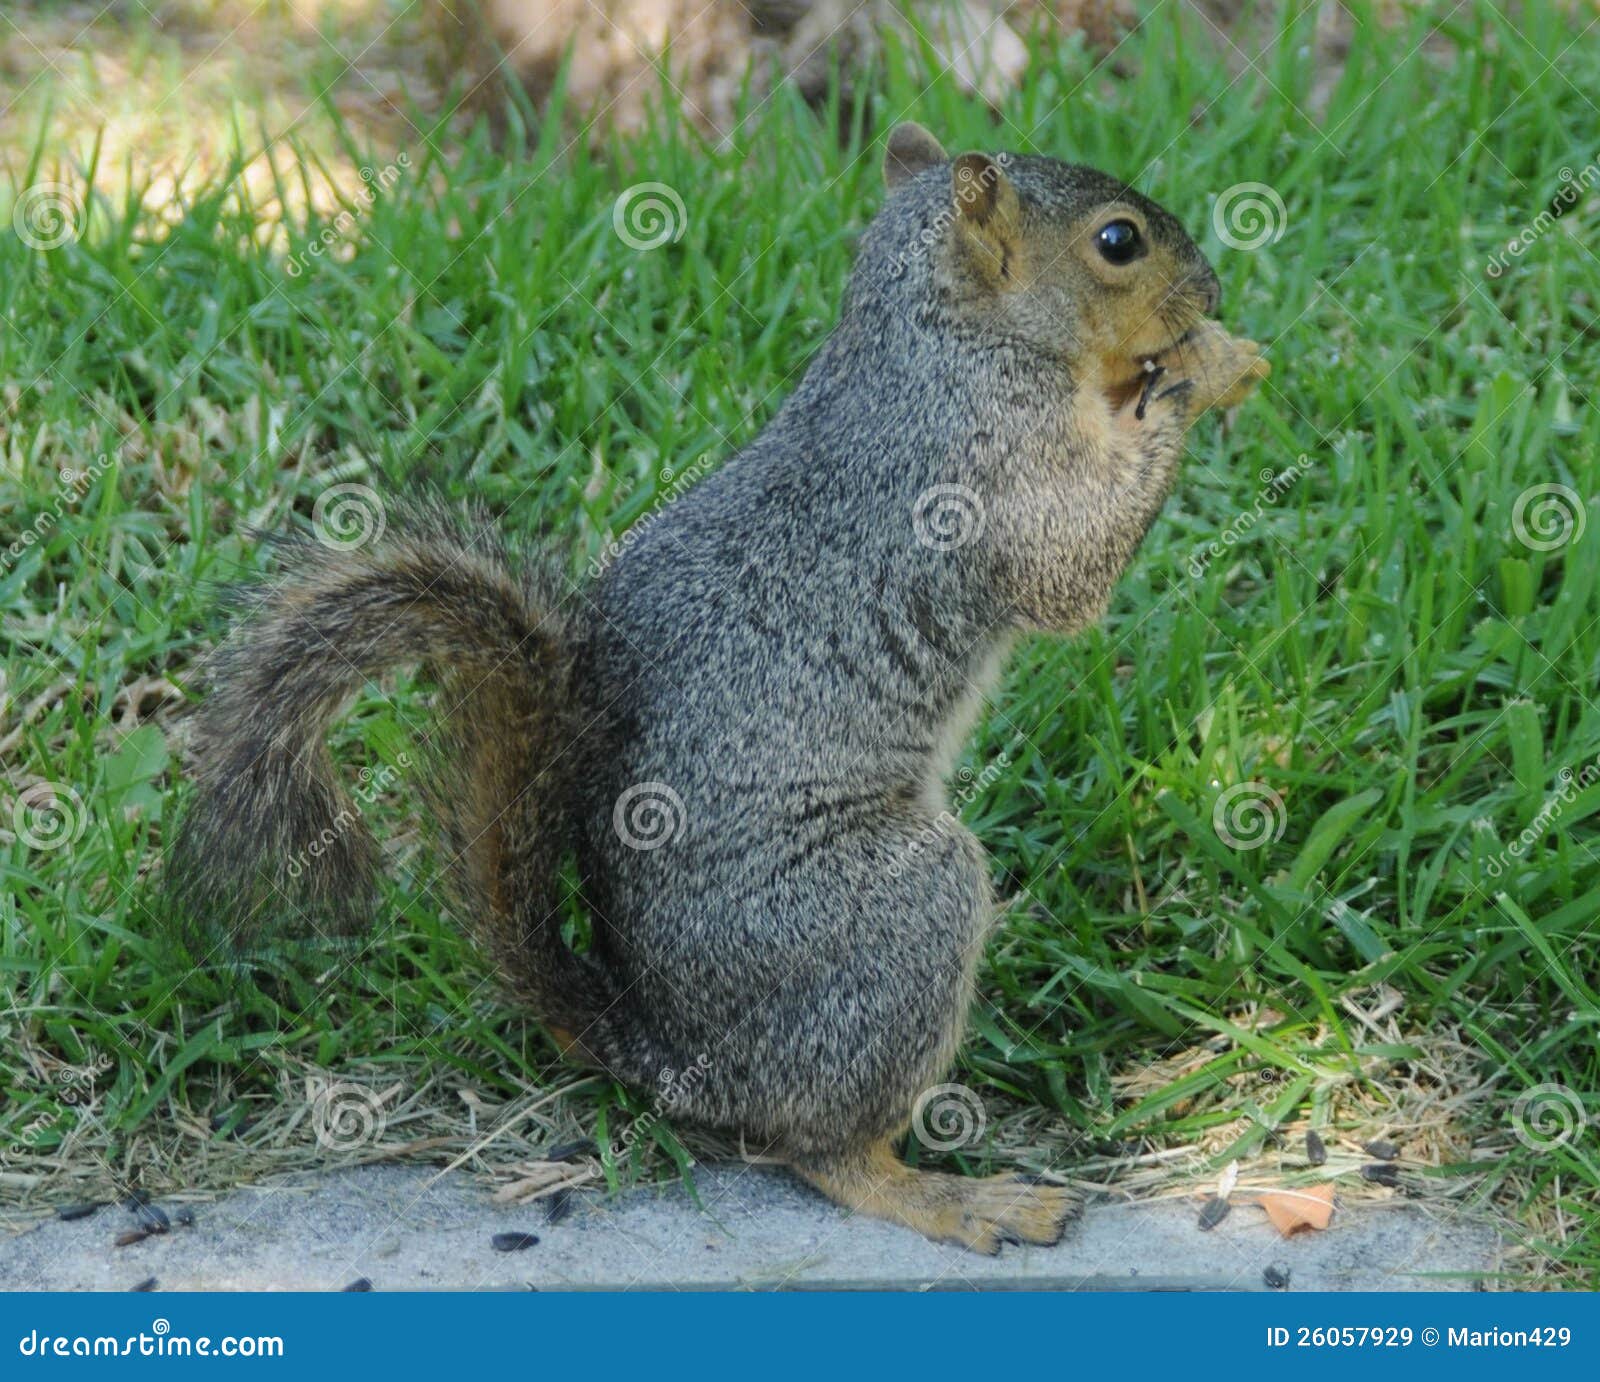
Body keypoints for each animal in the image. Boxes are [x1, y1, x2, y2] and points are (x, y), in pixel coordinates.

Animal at [170, 121, 1267, 1253]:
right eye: (1117, 241)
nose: (1213, 287)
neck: (944, 344)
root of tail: (679, 1061)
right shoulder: (986, 472)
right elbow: (1070, 569)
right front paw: (1206, 370)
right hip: (892, 914)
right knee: (827, 1151)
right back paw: (951, 1197)